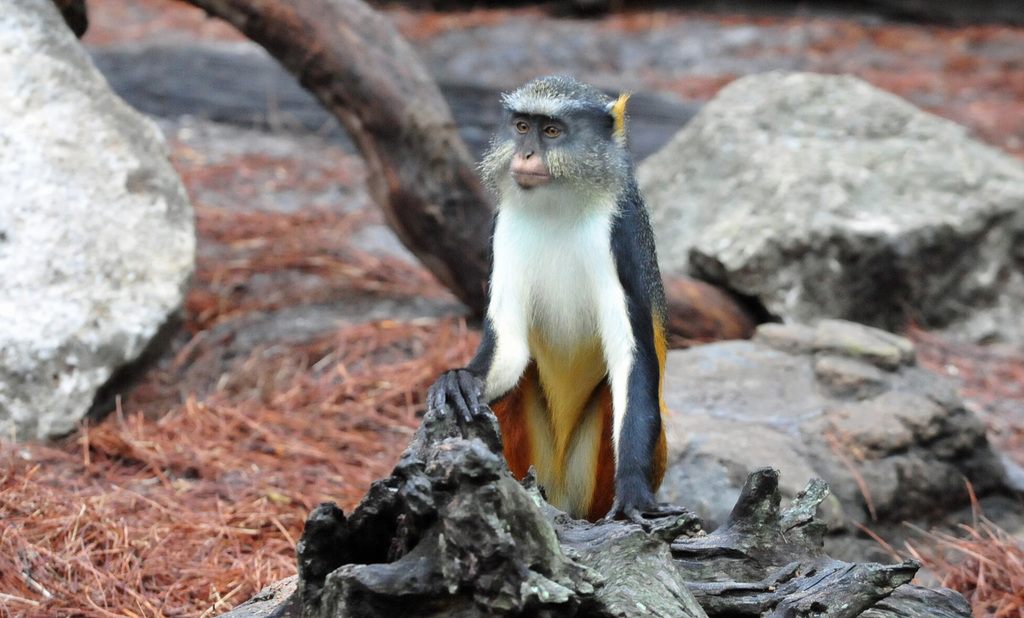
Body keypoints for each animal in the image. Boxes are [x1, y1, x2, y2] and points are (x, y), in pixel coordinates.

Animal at [428, 76, 682, 524]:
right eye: (521, 126)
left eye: (551, 131)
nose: (526, 154)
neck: (558, 206)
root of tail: (562, 493)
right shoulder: (502, 227)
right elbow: (509, 349)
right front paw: (460, 378)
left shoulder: (623, 234)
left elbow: (632, 361)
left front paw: (634, 494)